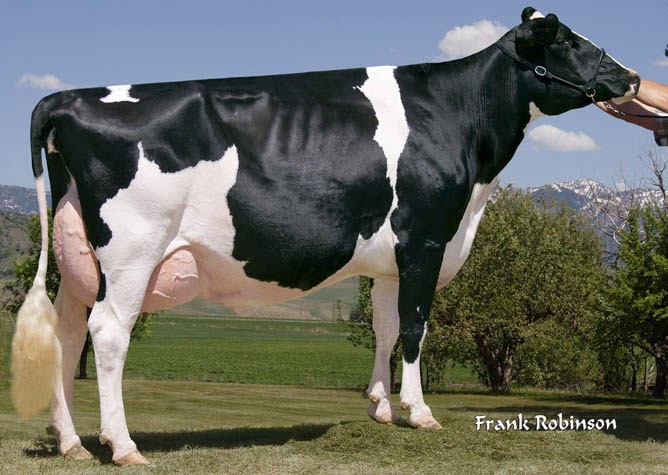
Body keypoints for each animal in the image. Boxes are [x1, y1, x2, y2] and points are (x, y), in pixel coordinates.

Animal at [11, 7, 639, 465]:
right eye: (569, 41)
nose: (631, 77)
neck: (457, 118)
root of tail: (67, 96)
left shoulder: (389, 260)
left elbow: (386, 327)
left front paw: (380, 408)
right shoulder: (426, 239)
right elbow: (416, 328)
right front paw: (419, 412)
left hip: (78, 257)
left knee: (68, 333)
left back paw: (70, 441)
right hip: (132, 251)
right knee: (108, 333)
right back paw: (123, 446)